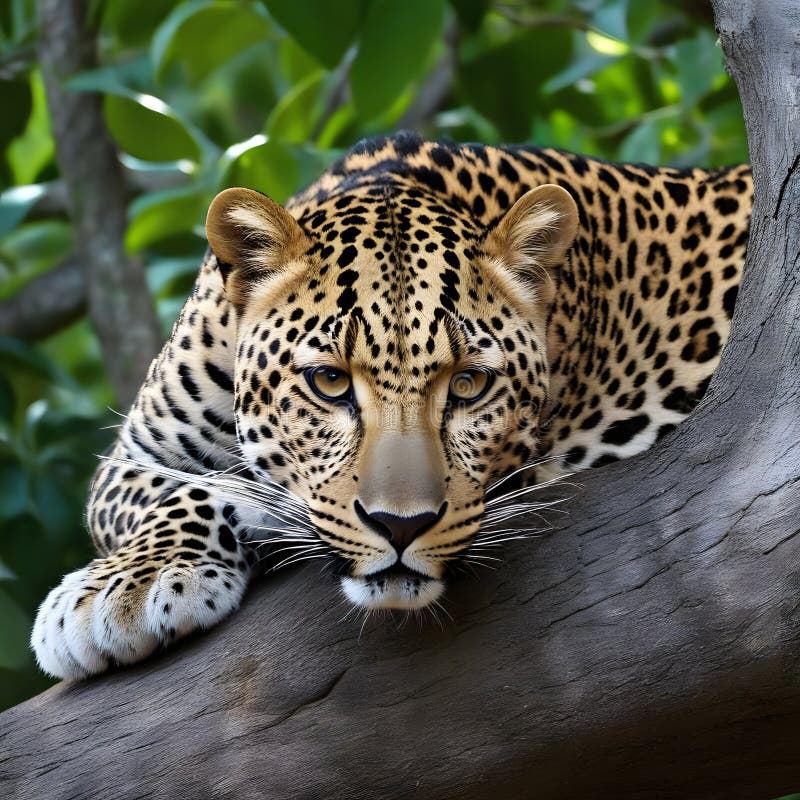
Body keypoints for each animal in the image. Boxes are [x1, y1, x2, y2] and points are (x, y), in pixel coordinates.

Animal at [31, 131, 751, 679]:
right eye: (328, 381)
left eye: (469, 385)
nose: (400, 526)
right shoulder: (134, 453)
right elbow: (179, 492)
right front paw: (126, 583)